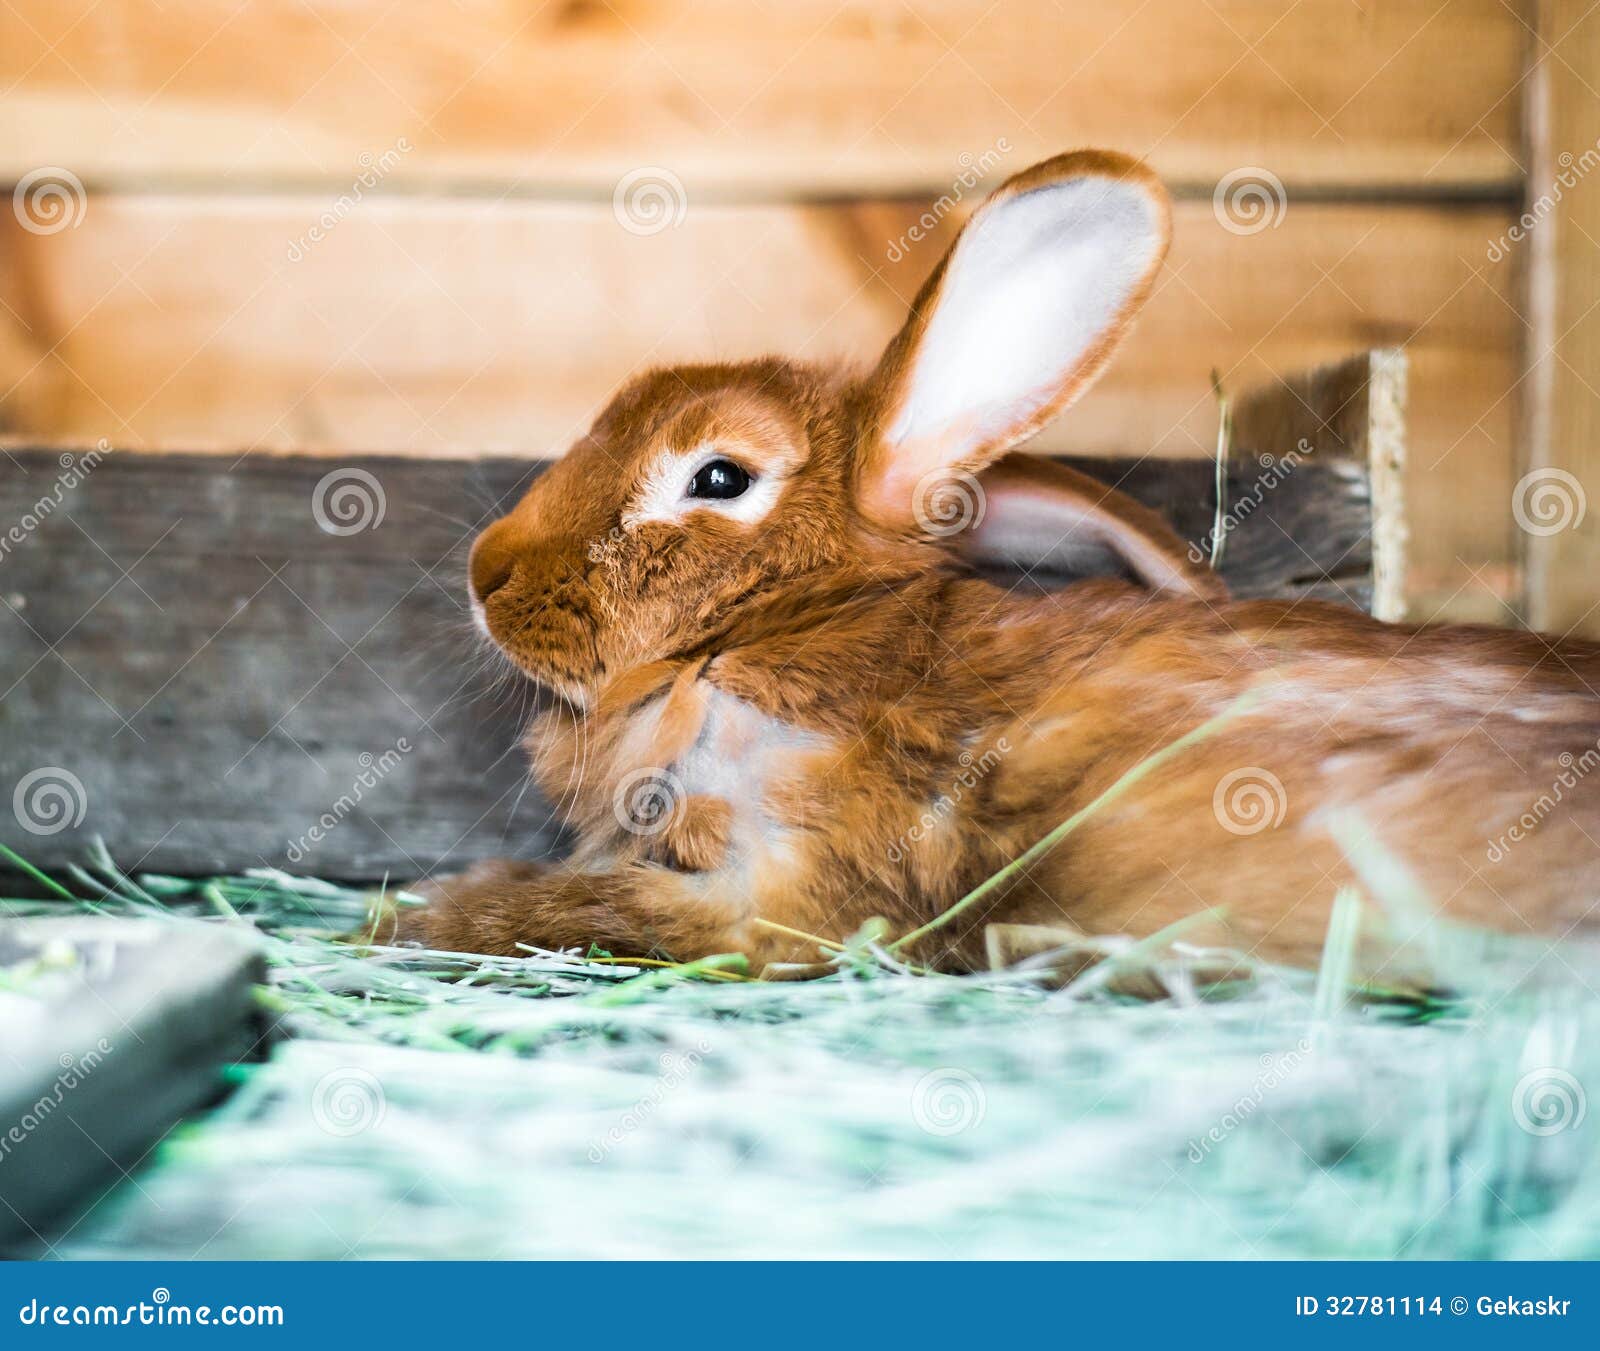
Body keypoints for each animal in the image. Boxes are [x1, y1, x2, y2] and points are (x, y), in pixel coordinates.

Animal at [400, 149, 1600, 984]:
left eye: (720, 476)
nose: (485, 573)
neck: (771, 626)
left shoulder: (785, 882)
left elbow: (584, 910)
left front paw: (418, 913)